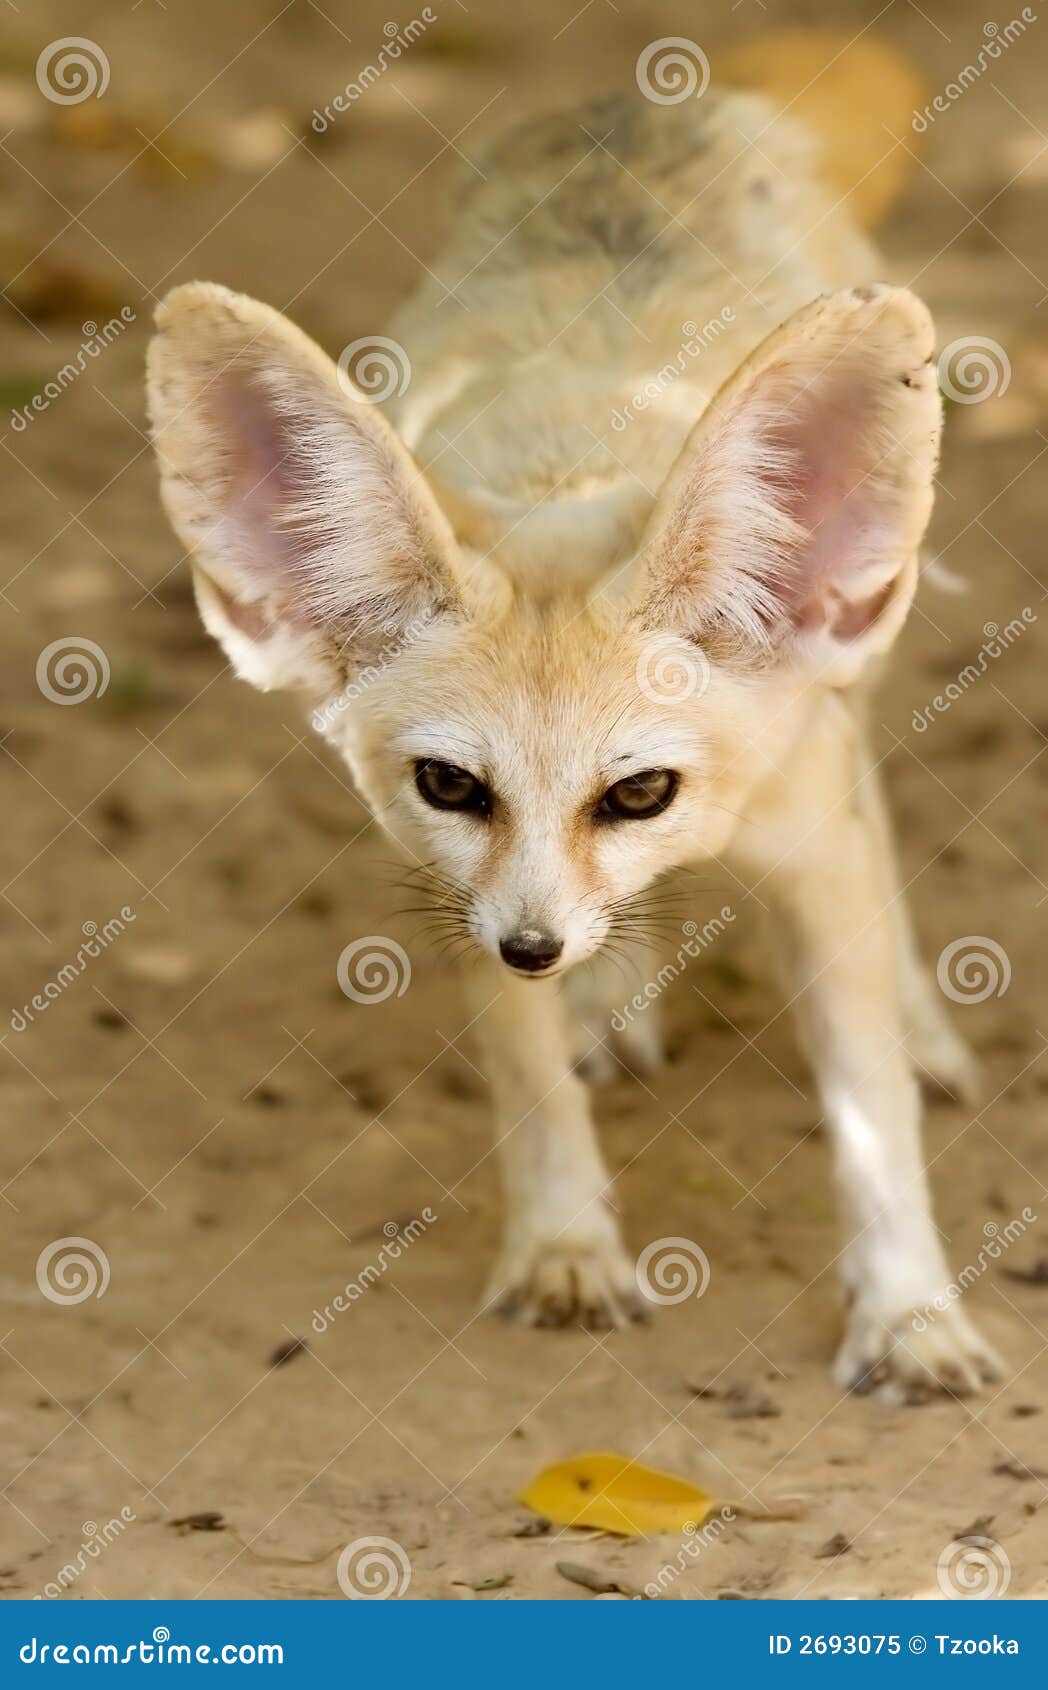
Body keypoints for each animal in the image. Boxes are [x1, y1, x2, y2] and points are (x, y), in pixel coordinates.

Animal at [147, 33, 1005, 1401]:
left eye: (639, 790)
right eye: (452, 785)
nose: (537, 948)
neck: (574, 454)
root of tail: (643, 98)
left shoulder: (808, 844)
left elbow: (872, 1116)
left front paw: (909, 1314)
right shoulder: (456, 891)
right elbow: (530, 1086)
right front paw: (561, 1244)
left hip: (846, 690)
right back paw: (615, 993)